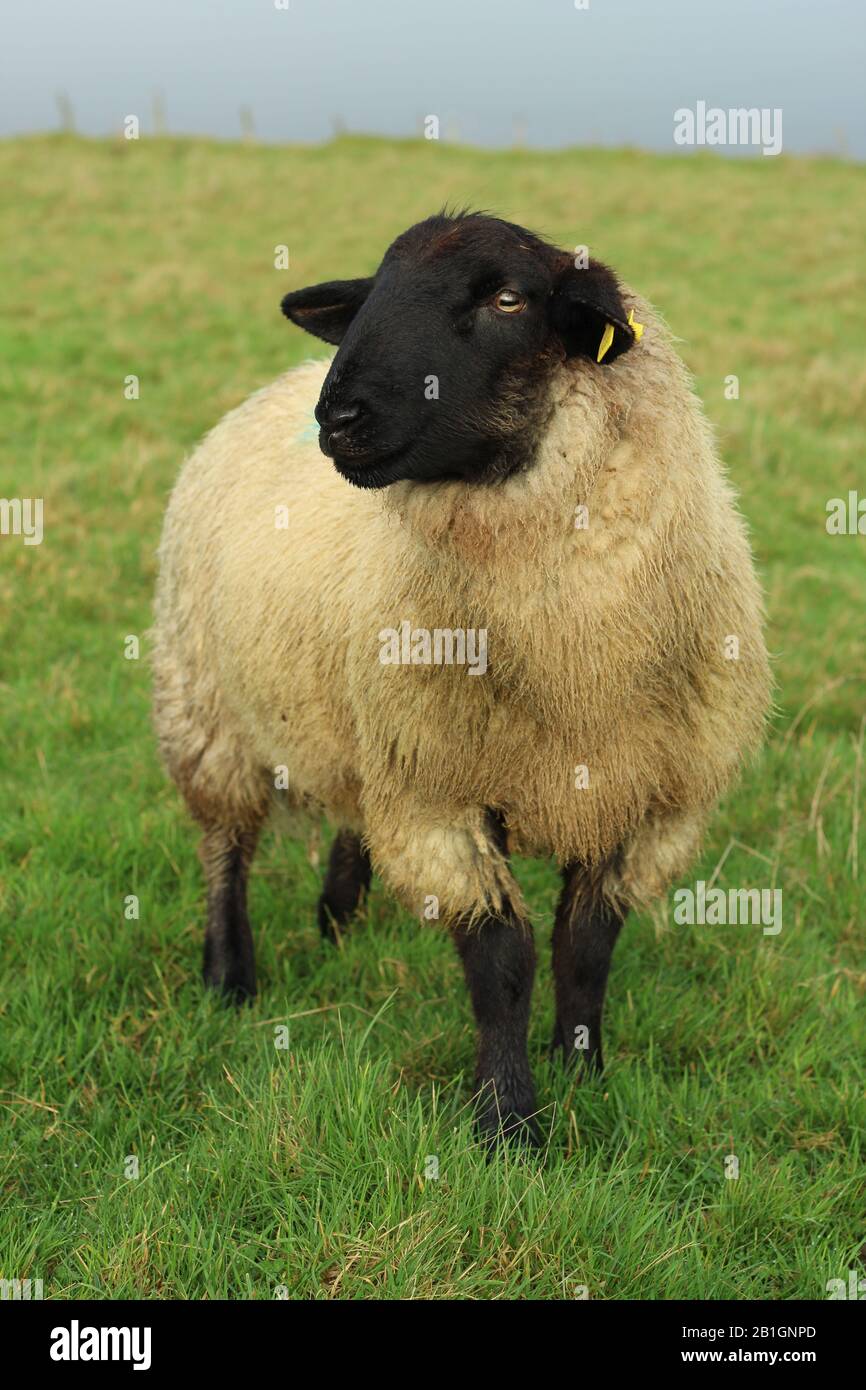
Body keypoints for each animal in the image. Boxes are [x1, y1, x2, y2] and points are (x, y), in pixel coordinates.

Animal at [152, 211, 771, 1146]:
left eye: (508, 299)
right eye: (374, 290)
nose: (339, 416)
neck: (572, 657)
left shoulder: (649, 798)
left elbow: (587, 945)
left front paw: (582, 1070)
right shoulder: (439, 791)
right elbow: (503, 960)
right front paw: (508, 1122)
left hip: (359, 719)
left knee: (349, 807)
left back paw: (338, 923)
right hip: (205, 699)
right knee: (226, 842)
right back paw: (229, 977)